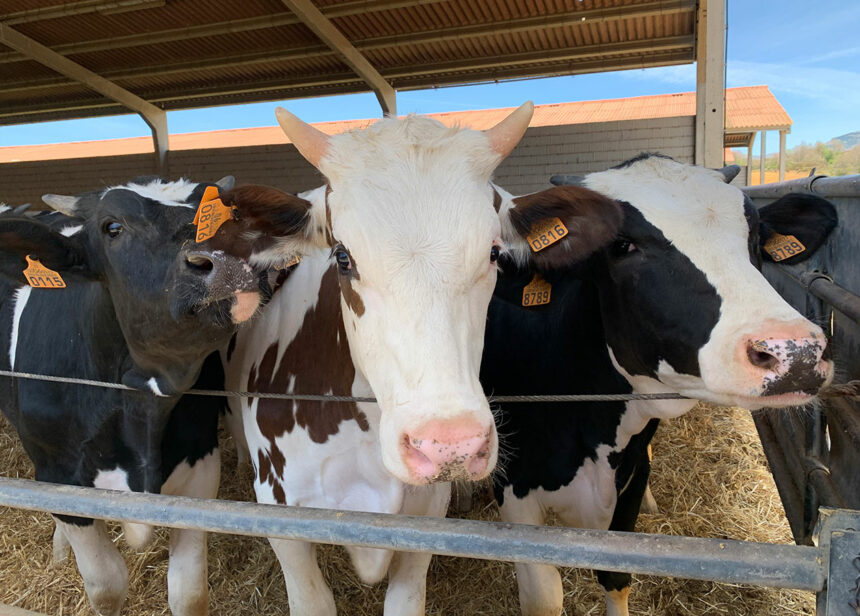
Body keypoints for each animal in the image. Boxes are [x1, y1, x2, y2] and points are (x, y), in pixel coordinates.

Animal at [0, 176, 270, 616]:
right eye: (113, 227)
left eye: (223, 211)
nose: (226, 257)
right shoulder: (58, 472)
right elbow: (106, 587)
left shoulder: (201, 467)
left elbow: (189, 594)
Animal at [481, 154, 837, 616]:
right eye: (621, 246)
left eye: (756, 237)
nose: (796, 351)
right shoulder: (514, 491)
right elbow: (544, 598)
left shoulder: (628, 477)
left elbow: (616, 577)